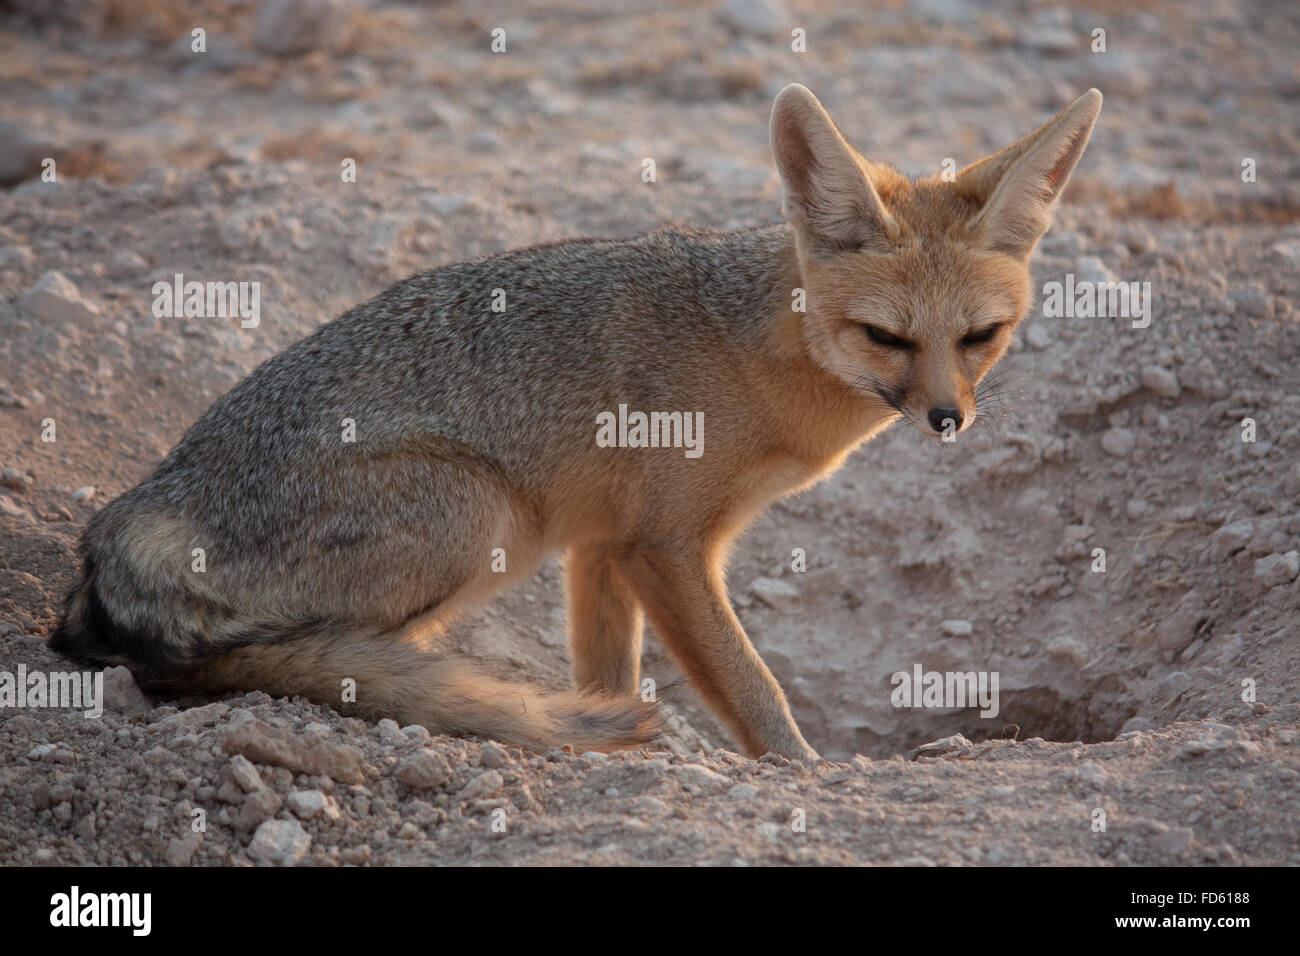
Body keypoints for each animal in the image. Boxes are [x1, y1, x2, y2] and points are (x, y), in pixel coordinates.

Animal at [51, 85, 1101, 761]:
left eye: (980, 337)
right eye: (885, 336)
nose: (947, 419)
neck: (754, 350)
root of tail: (126, 522)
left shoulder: (604, 546)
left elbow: (611, 674)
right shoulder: (665, 546)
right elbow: (752, 685)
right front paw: (802, 770)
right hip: (479, 511)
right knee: (266, 665)